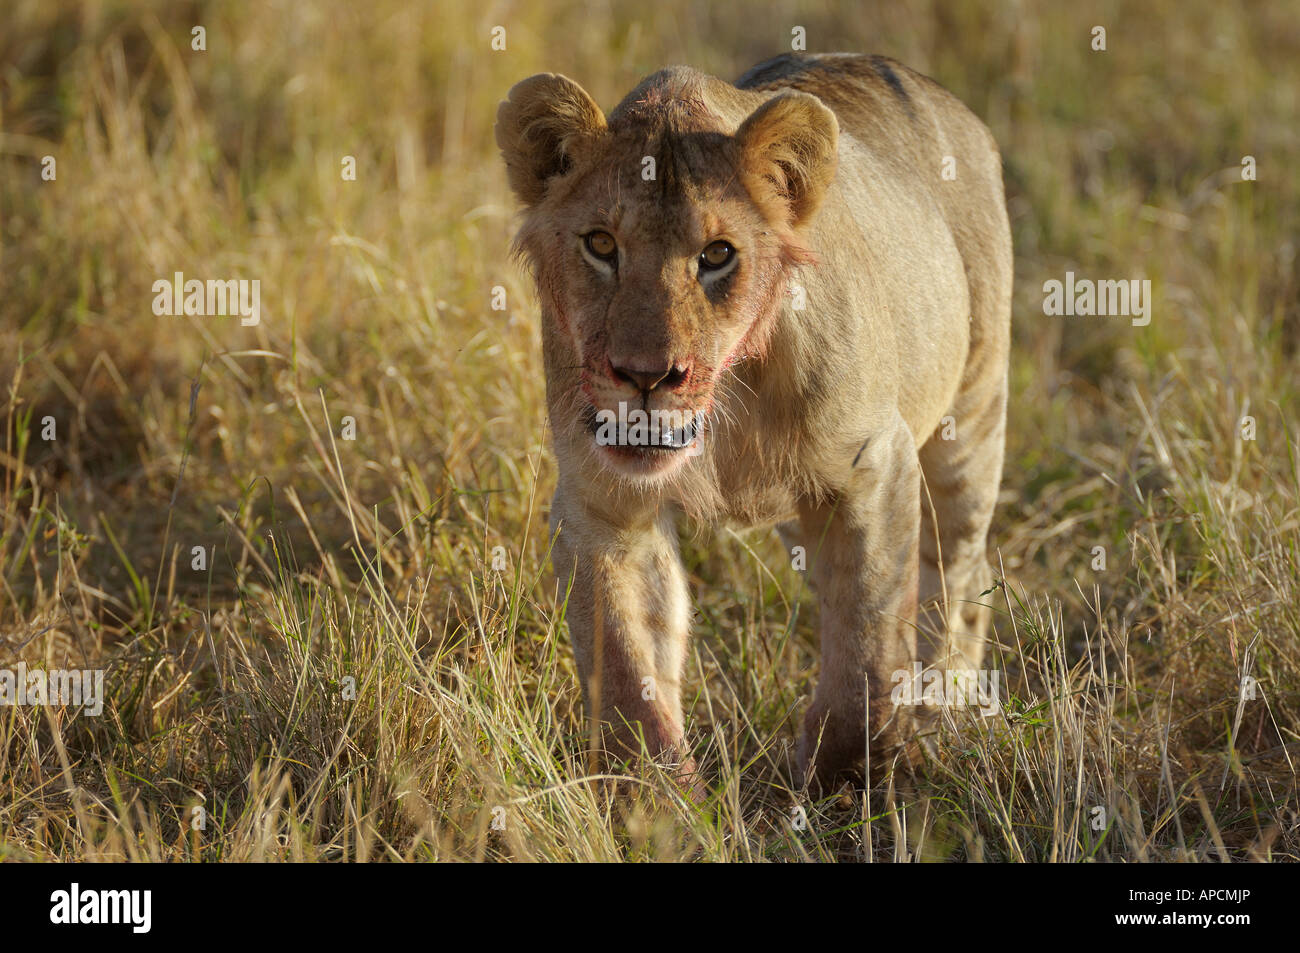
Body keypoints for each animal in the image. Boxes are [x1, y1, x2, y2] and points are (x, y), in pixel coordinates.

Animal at [496, 52, 1011, 789]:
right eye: (600, 244)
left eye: (717, 255)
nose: (647, 375)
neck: (725, 413)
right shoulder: (604, 503)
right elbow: (626, 662)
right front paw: (655, 795)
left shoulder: (874, 466)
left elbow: (865, 643)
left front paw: (842, 782)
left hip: (971, 419)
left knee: (957, 581)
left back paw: (946, 715)